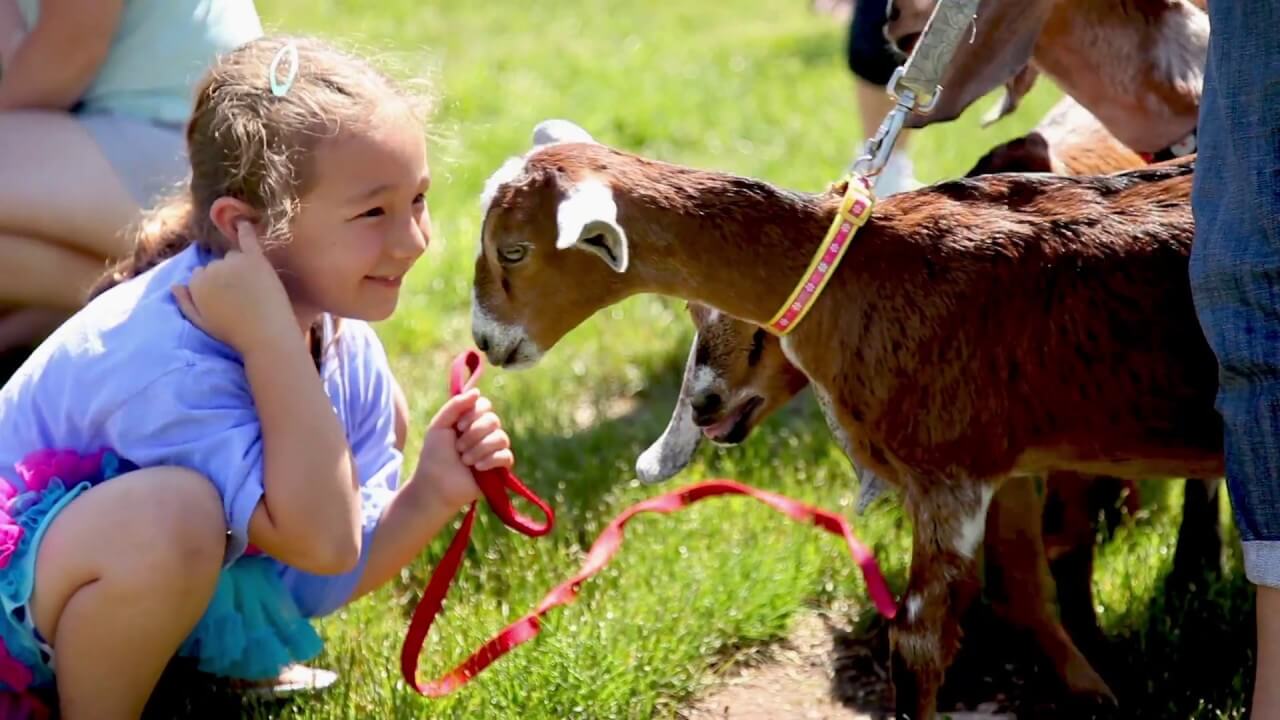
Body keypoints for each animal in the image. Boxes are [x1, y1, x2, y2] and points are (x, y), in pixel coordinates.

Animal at [470, 120, 1219, 719]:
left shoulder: (950, 472)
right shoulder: (1002, 465)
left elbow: (918, 643)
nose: (485, 340)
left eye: (514, 250)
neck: (866, 264)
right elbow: (1026, 579)